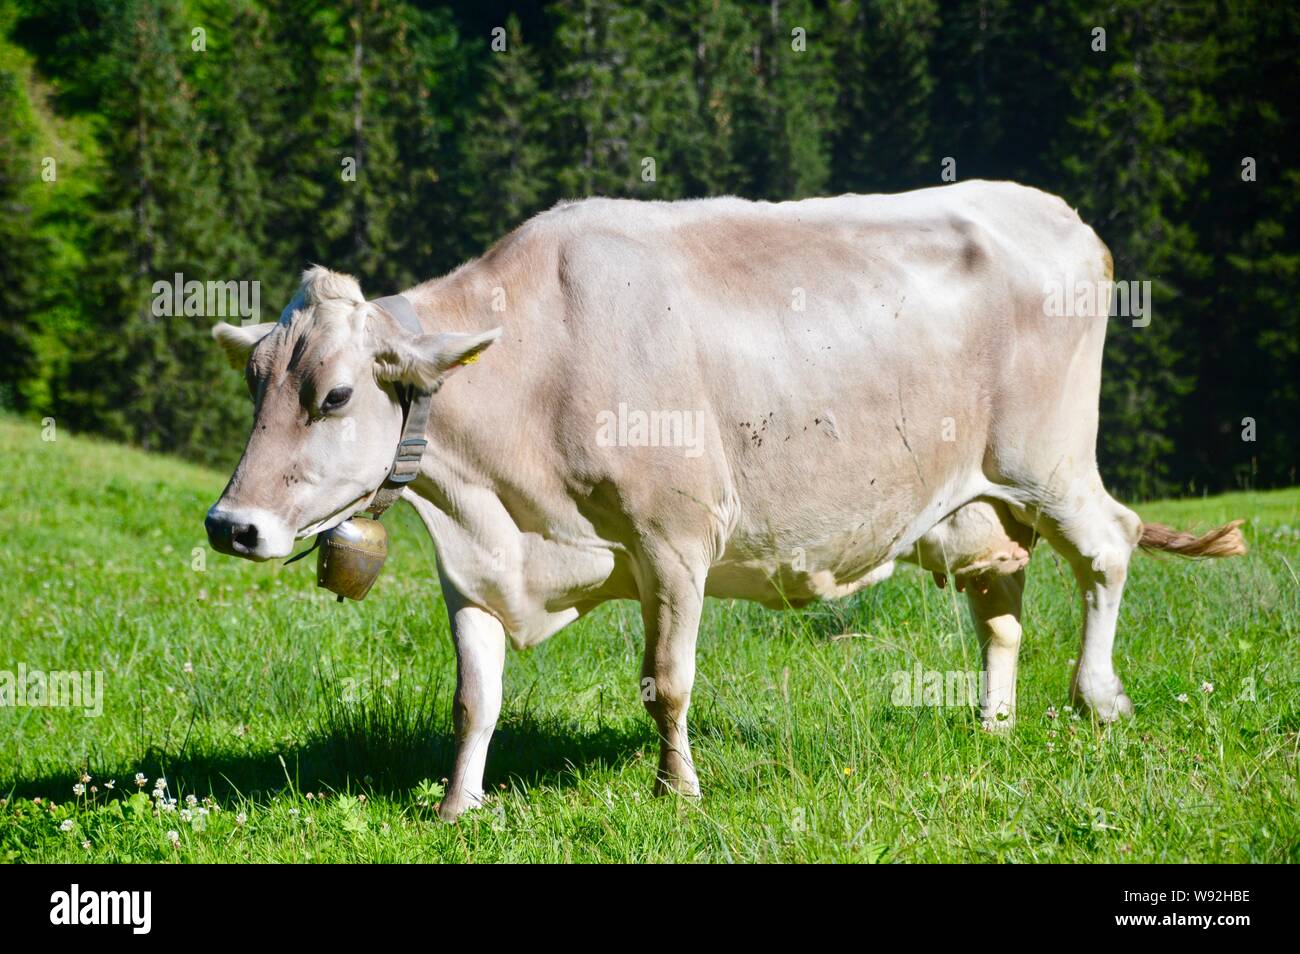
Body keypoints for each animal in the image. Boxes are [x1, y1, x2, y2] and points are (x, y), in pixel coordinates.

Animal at [205, 180, 1246, 819]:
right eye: (255, 382)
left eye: (336, 395)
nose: (230, 525)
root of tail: (1059, 214)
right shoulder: (474, 563)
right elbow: (475, 697)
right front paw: (460, 805)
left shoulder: (674, 539)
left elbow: (666, 681)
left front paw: (678, 791)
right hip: (975, 500)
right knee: (1002, 597)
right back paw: (992, 722)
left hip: (1048, 459)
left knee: (1107, 545)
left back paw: (1097, 697)